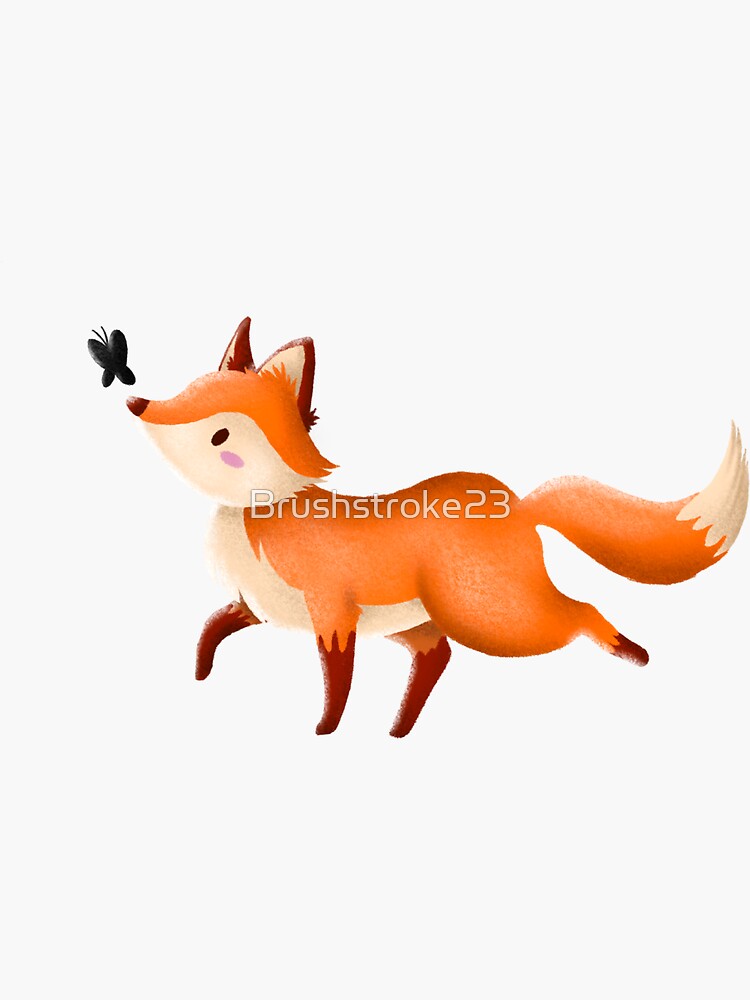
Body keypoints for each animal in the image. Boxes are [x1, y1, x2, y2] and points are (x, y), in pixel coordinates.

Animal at [126, 317, 748, 737]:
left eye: (218, 433)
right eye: (185, 392)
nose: (138, 403)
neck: (263, 517)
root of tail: (518, 503)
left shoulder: (333, 615)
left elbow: (336, 685)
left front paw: (325, 731)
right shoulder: (258, 608)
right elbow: (212, 629)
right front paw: (200, 673)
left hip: (492, 619)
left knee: (580, 611)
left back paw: (628, 651)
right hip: (416, 622)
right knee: (438, 656)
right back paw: (400, 728)